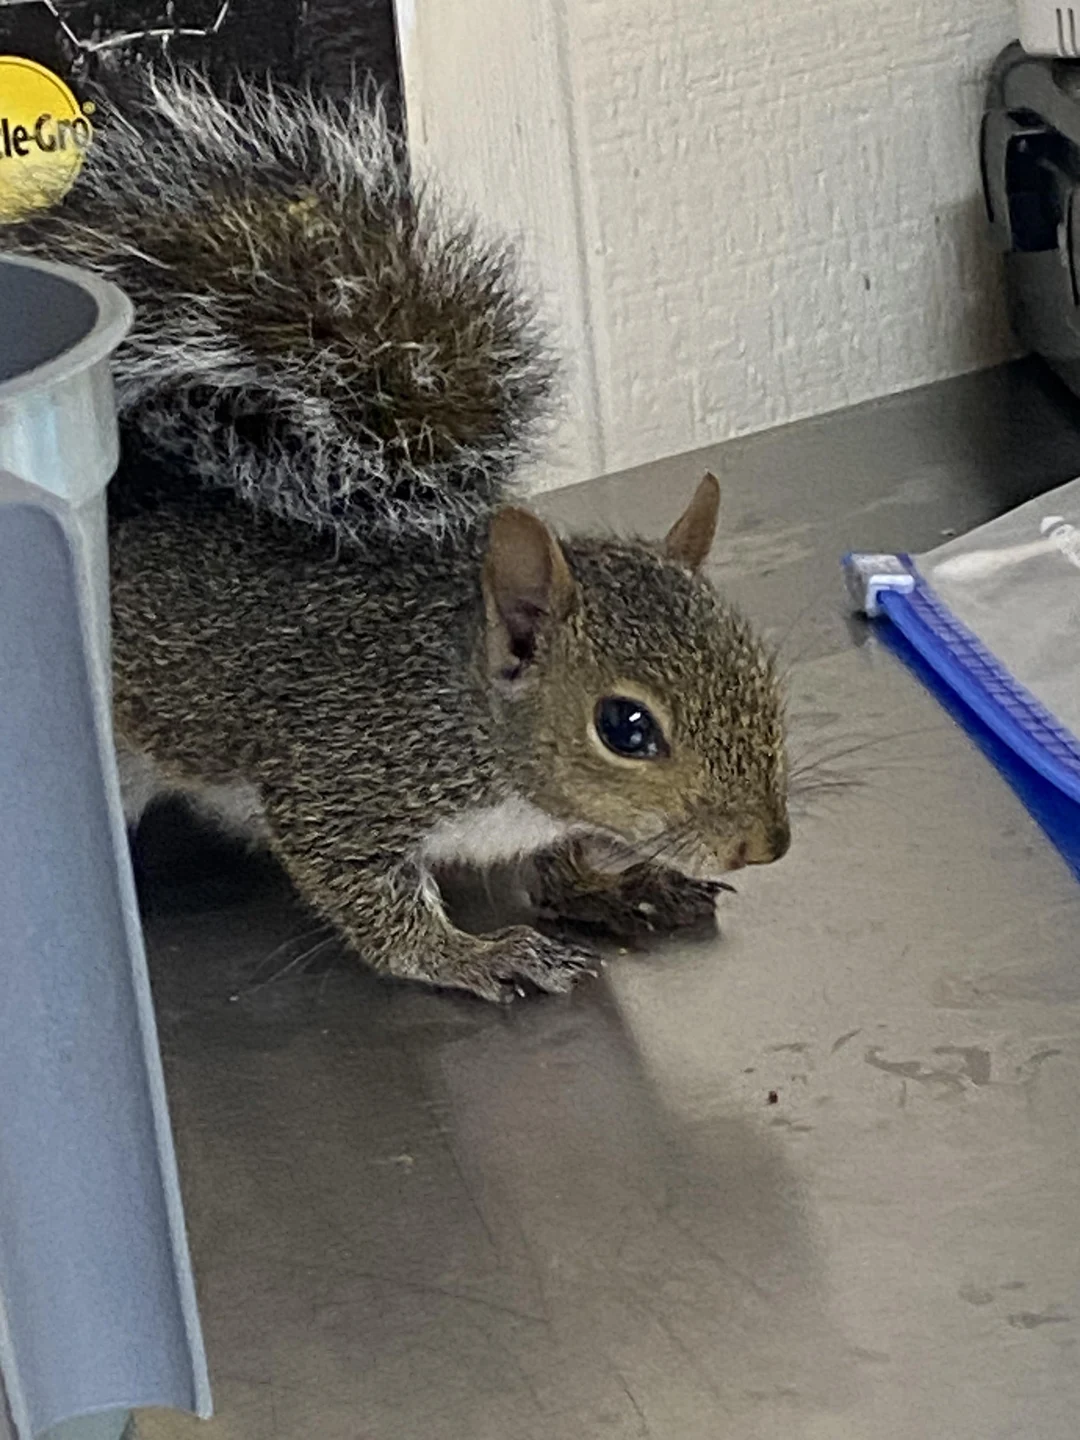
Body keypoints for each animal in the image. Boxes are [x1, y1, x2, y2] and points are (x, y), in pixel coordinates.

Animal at [11, 71, 790, 1001]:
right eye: (626, 728)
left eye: (760, 671)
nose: (767, 845)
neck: (468, 711)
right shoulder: (345, 777)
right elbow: (375, 908)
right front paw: (480, 955)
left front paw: (609, 885)